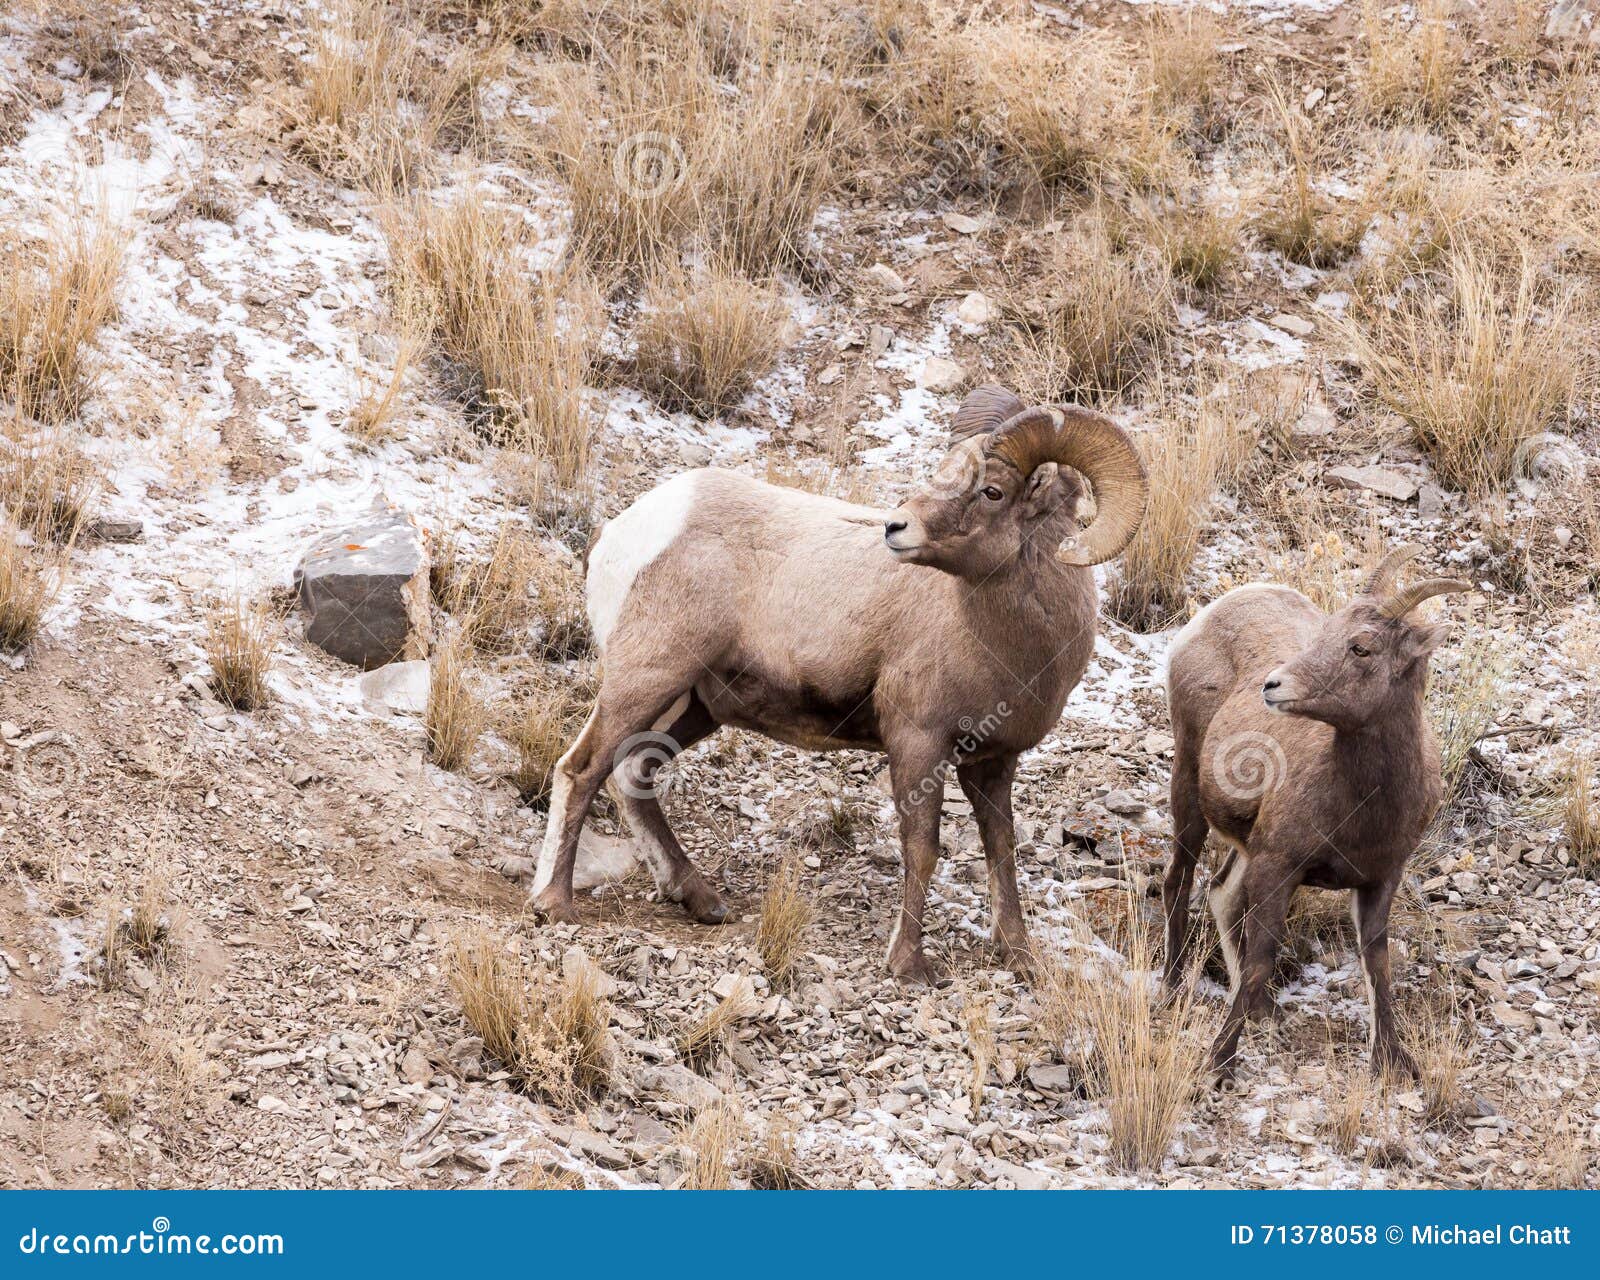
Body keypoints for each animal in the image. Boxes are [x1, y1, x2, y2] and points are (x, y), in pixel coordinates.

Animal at [531, 384, 1148, 983]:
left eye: (992, 491)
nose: (896, 528)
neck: (1006, 642)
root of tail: (622, 532)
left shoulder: (993, 762)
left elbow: (1002, 851)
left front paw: (1019, 957)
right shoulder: (918, 744)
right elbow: (923, 849)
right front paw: (909, 966)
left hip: (694, 706)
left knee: (634, 771)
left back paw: (702, 900)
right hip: (647, 679)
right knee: (582, 769)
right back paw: (554, 904)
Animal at [1161, 545, 1471, 1078]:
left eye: (1361, 648)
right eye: (1326, 632)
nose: (1273, 686)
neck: (1361, 803)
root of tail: (1208, 617)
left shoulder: (1378, 880)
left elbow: (1377, 965)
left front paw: (1392, 1063)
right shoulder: (1278, 866)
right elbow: (1262, 958)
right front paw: (1219, 1063)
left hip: (1245, 843)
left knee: (1220, 892)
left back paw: (1261, 1011)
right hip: (1189, 786)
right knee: (1179, 881)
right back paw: (1172, 987)